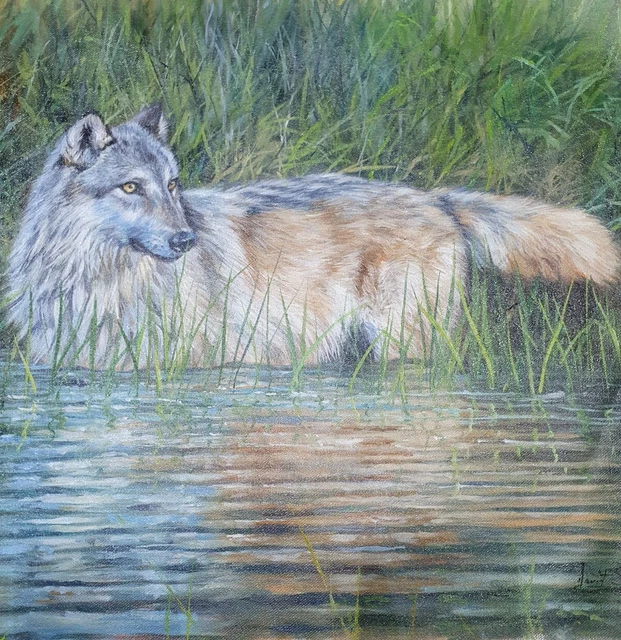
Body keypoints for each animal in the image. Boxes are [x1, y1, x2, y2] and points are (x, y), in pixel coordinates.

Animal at [6, 104, 621, 369]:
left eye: (173, 185)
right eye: (131, 187)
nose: (185, 241)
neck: (96, 282)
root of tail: (436, 198)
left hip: (404, 344)